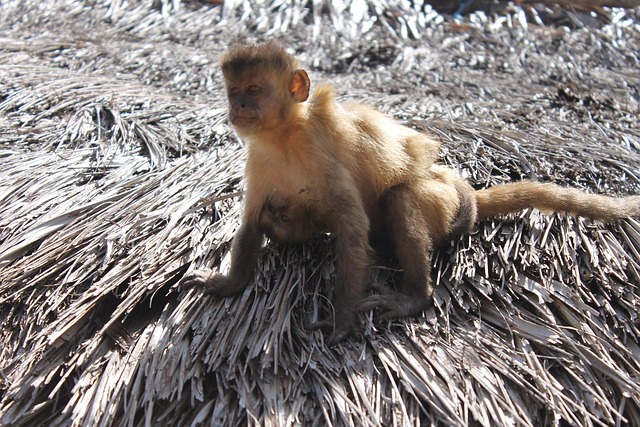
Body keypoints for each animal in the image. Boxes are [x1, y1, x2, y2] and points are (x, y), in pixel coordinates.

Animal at [181, 40, 640, 343]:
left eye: (254, 91)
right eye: (233, 93)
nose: (238, 108)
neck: (283, 136)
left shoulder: (318, 148)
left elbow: (352, 229)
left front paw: (341, 320)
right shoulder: (259, 159)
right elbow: (251, 223)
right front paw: (229, 283)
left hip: (445, 199)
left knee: (400, 197)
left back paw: (417, 297)